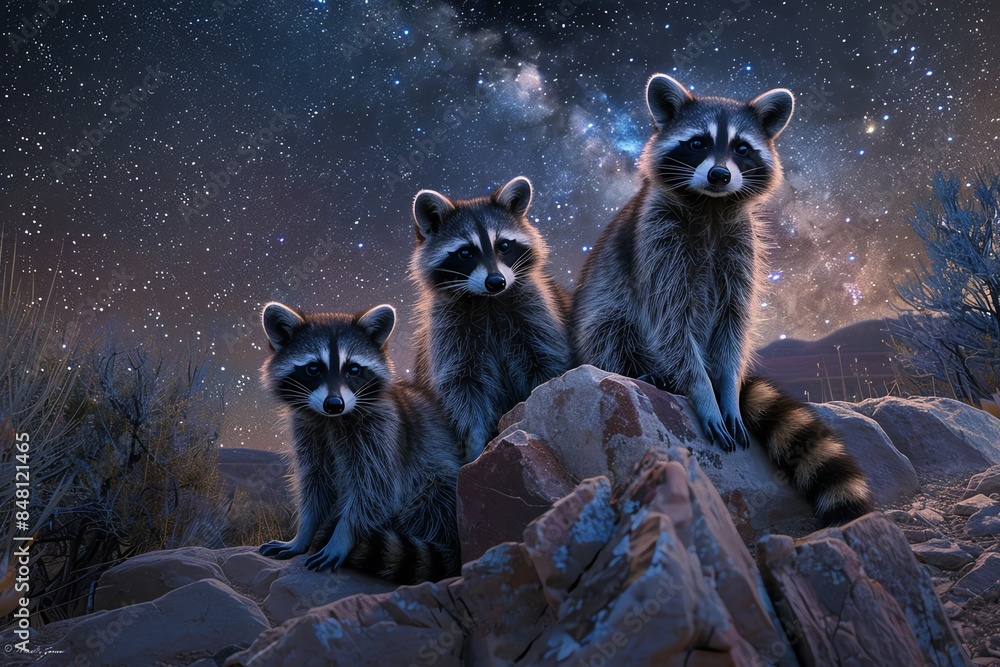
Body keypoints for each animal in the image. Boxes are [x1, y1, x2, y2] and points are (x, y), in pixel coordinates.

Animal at [258, 302, 461, 583]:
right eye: (313, 368)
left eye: (353, 369)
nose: (334, 404)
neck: (332, 421)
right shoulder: (308, 431)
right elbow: (315, 483)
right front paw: (303, 534)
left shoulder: (382, 432)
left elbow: (376, 489)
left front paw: (342, 536)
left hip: (438, 485)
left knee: (432, 496)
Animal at [411, 176, 573, 462]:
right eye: (465, 252)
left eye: (504, 246)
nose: (496, 281)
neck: (488, 301)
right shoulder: (448, 332)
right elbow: (462, 388)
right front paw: (474, 443)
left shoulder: (536, 313)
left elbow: (546, 363)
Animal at [571, 74, 872, 525]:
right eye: (697, 143)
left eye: (742, 148)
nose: (718, 174)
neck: (711, 206)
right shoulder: (656, 242)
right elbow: (669, 319)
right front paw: (702, 390)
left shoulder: (741, 248)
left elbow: (734, 321)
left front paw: (726, 388)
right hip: (603, 309)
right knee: (608, 327)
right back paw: (644, 371)